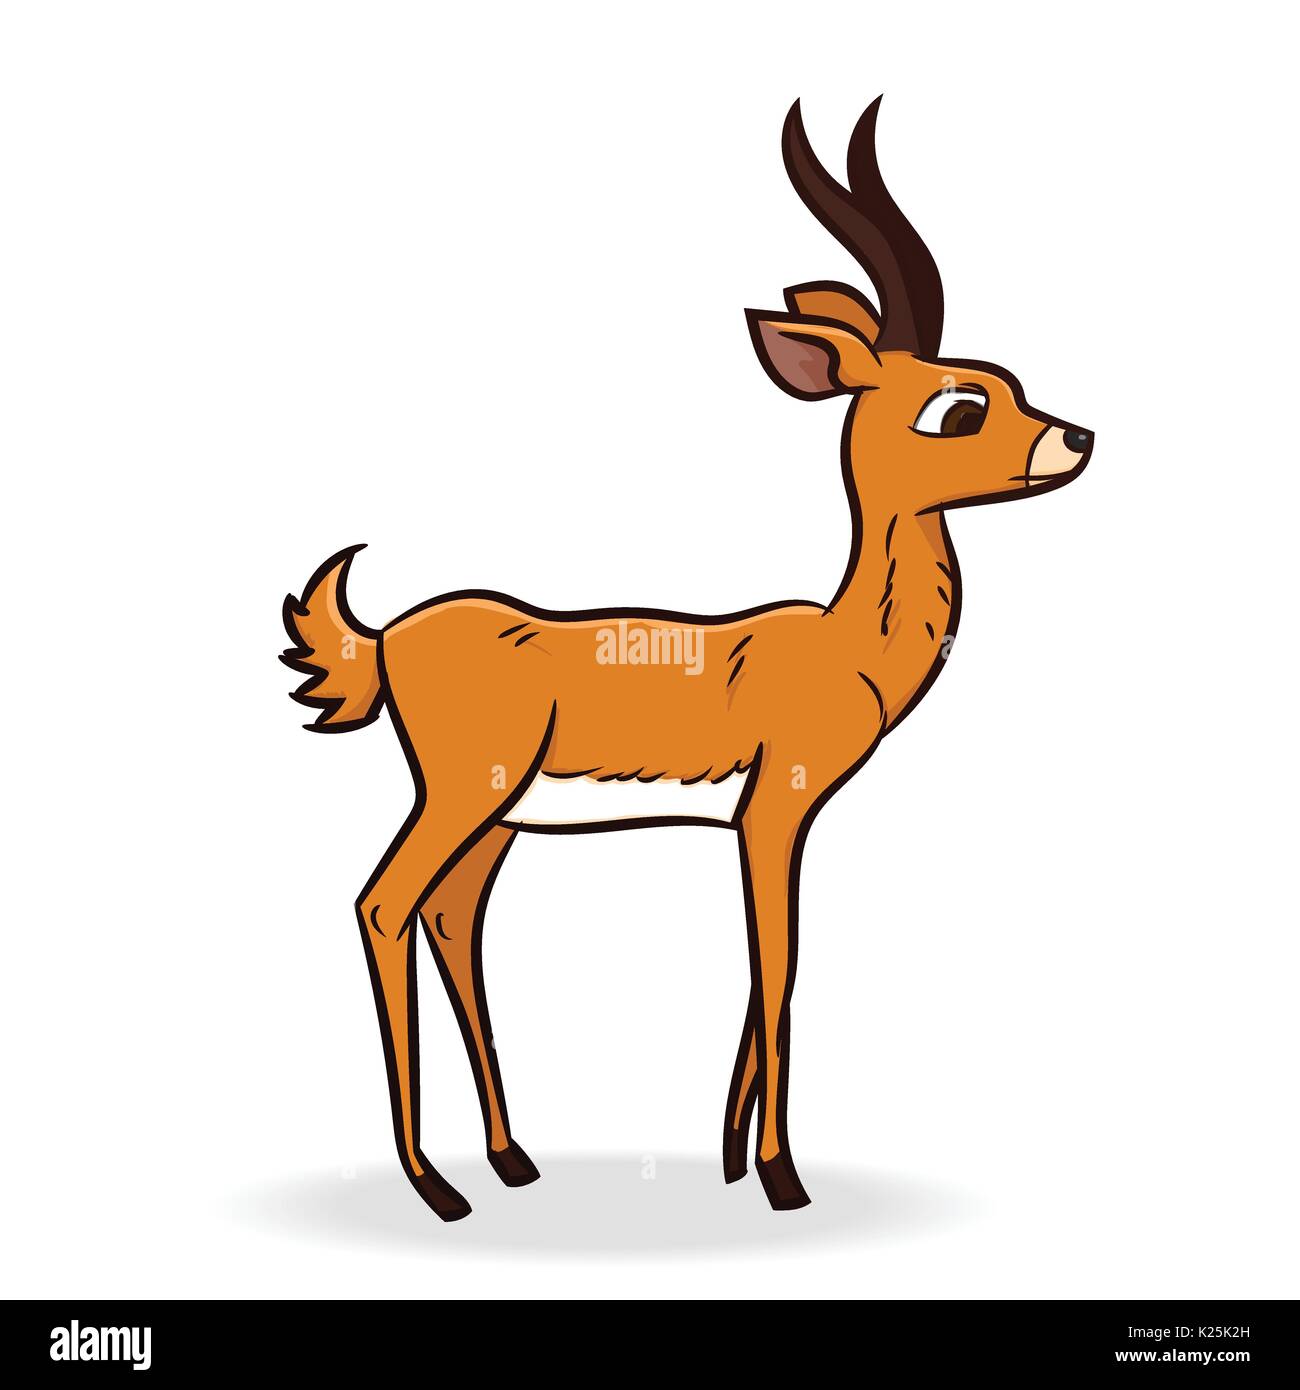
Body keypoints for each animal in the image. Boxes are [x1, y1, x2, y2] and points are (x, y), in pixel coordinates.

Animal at [281, 97, 1092, 1220]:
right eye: (958, 406)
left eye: (1007, 383)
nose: (1078, 438)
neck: (842, 644)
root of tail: (385, 635)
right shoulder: (773, 810)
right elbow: (779, 963)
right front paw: (782, 1178)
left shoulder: (767, 821)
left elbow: (763, 974)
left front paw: (730, 1158)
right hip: (460, 794)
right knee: (382, 905)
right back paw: (436, 1188)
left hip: (499, 818)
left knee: (449, 916)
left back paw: (510, 1160)